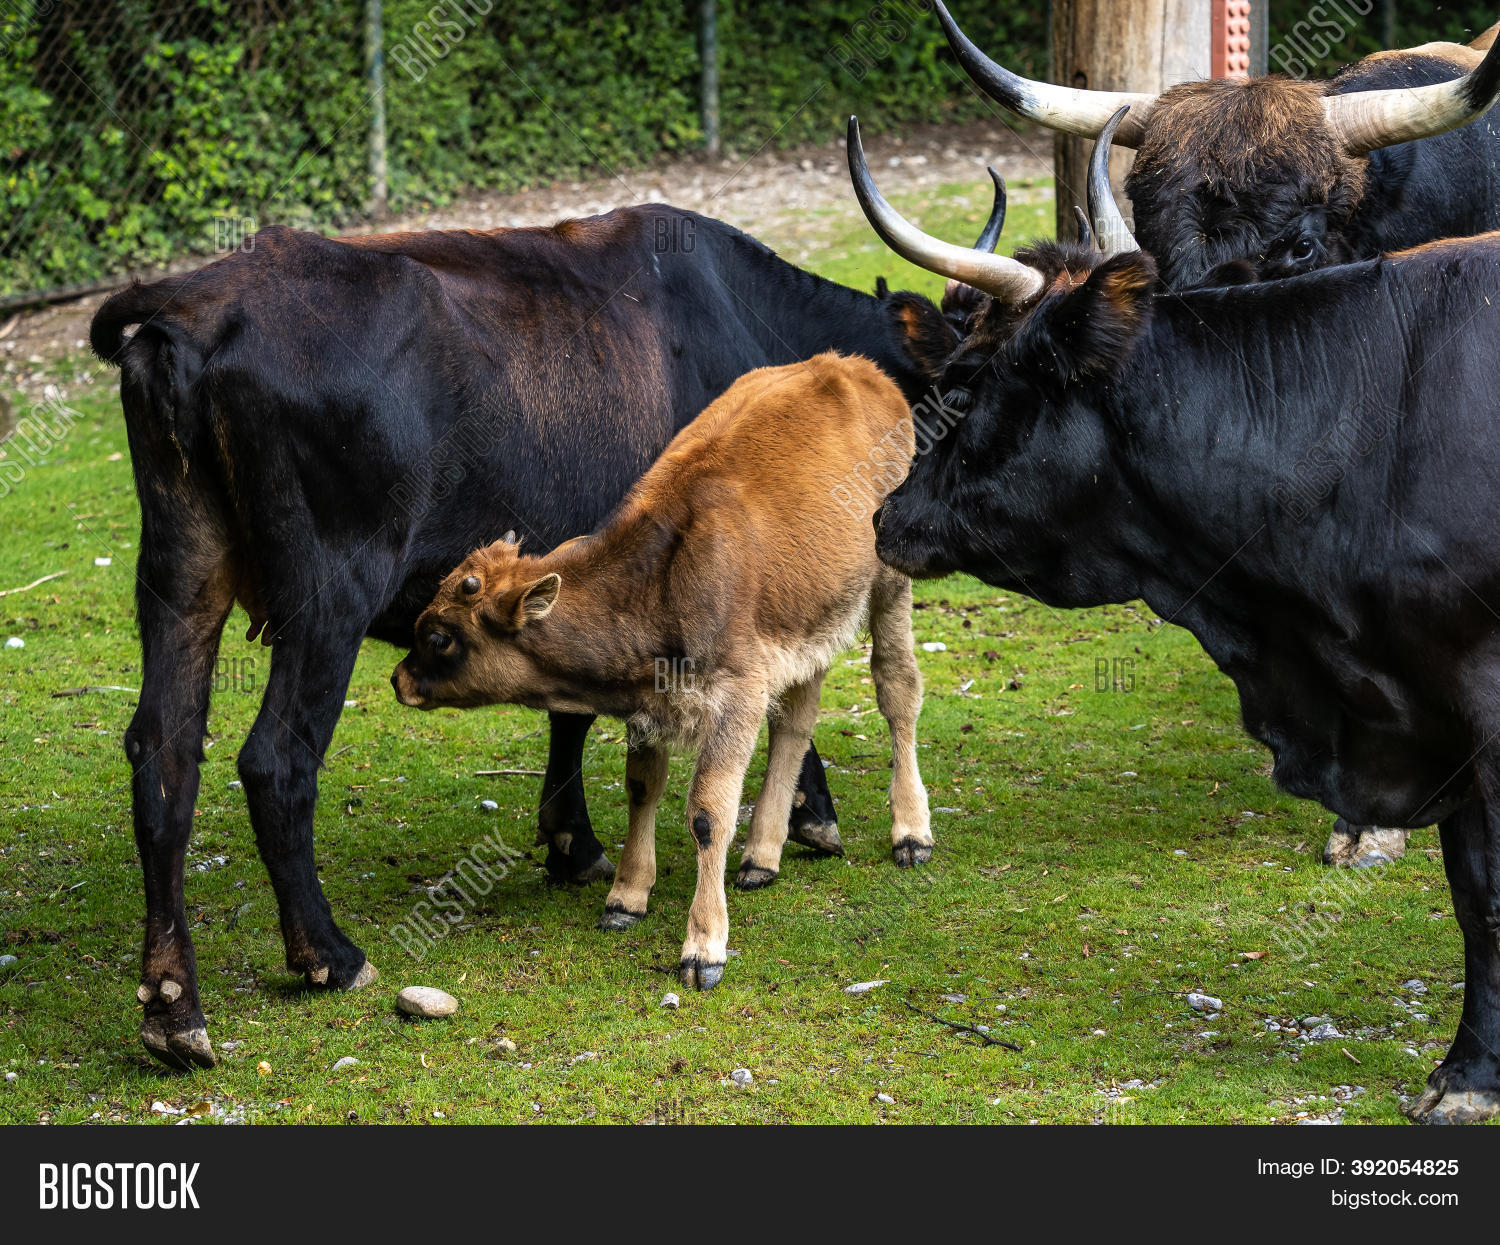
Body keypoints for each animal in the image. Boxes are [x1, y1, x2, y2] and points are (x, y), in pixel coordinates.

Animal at [392, 354, 931, 989]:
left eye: (439, 637)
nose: (399, 680)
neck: (661, 579)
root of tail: (858, 369)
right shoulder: (653, 705)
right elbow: (642, 788)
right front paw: (627, 897)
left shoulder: (736, 696)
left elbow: (707, 813)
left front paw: (703, 947)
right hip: (809, 621)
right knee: (795, 722)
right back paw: (761, 858)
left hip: (890, 585)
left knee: (897, 688)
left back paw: (910, 834)